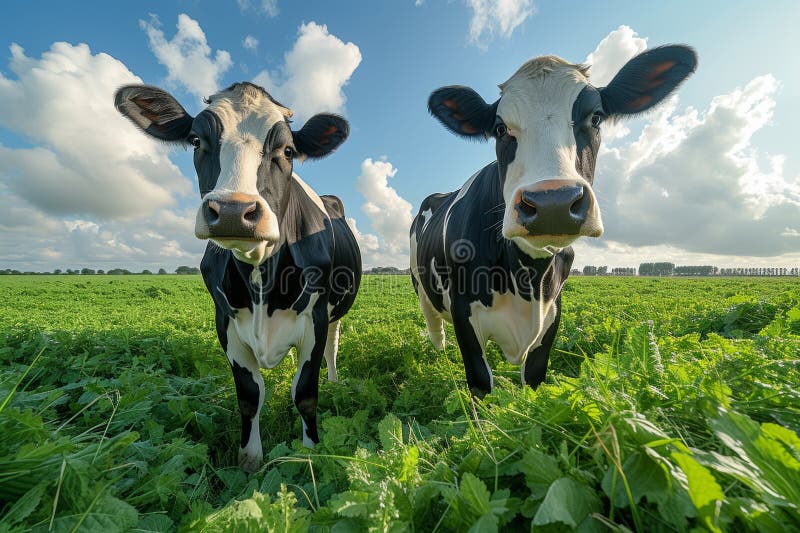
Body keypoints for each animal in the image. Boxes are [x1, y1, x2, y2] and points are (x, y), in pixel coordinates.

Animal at [115, 82, 361, 472]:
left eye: (287, 150)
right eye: (196, 141)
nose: (233, 210)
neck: (260, 275)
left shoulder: (315, 319)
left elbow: (305, 392)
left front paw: (310, 454)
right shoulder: (226, 324)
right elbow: (249, 395)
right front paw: (250, 458)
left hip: (335, 313)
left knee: (332, 347)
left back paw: (335, 381)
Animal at [411, 46, 697, 397]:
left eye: (595, 117)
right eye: (500, 129)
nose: (552, 203)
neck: (526, 277)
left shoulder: (553, 313)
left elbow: (534, 380)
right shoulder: (465, 315)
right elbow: (480, 383)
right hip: (421, 285)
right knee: (434, 326)